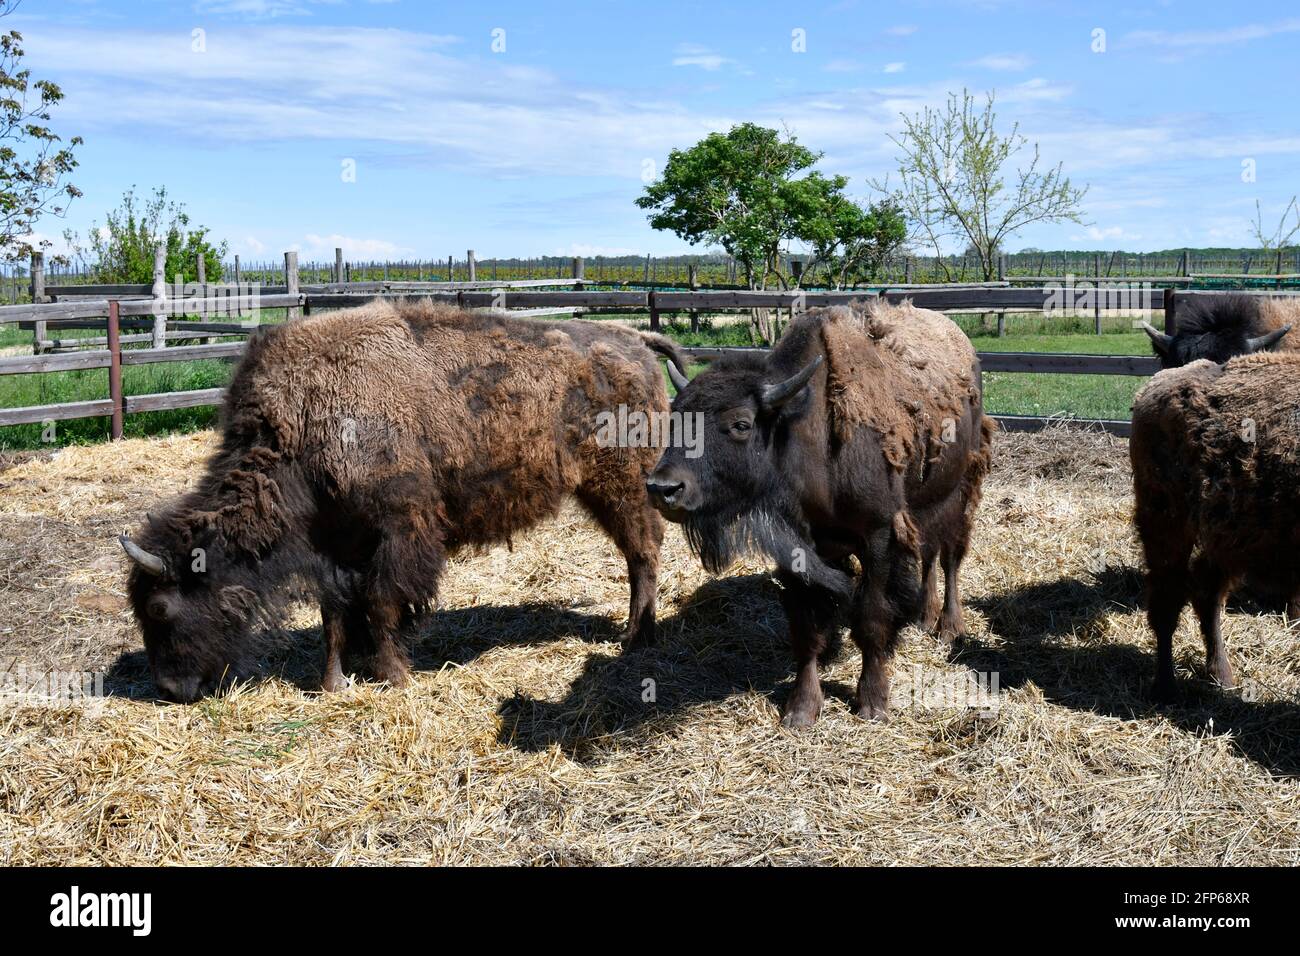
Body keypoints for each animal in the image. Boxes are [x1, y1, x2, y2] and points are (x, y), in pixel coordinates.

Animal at [121, 299, 686, 702]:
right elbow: (336, 614)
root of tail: (635, 340)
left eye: (159, 607)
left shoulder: (399, 530)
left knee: (643, 551)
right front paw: (333, 683)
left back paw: (636, 637)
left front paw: (393, 676)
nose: (170, 691)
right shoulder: (338, 546)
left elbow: (382, 601)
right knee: (640, 550)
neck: (302, 421)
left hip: (622, 484)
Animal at [646, 300, 993, 727]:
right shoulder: (798, 550)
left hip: (962, 490)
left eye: (741, 423)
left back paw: (948, 626)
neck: (808, 434)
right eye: (675, 418)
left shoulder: (880, 536)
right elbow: (806, 628)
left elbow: (872, 617)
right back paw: (923, 617)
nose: (663, 488)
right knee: (928, 555)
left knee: (950, 557)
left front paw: (872, 703)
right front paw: (801, 708)